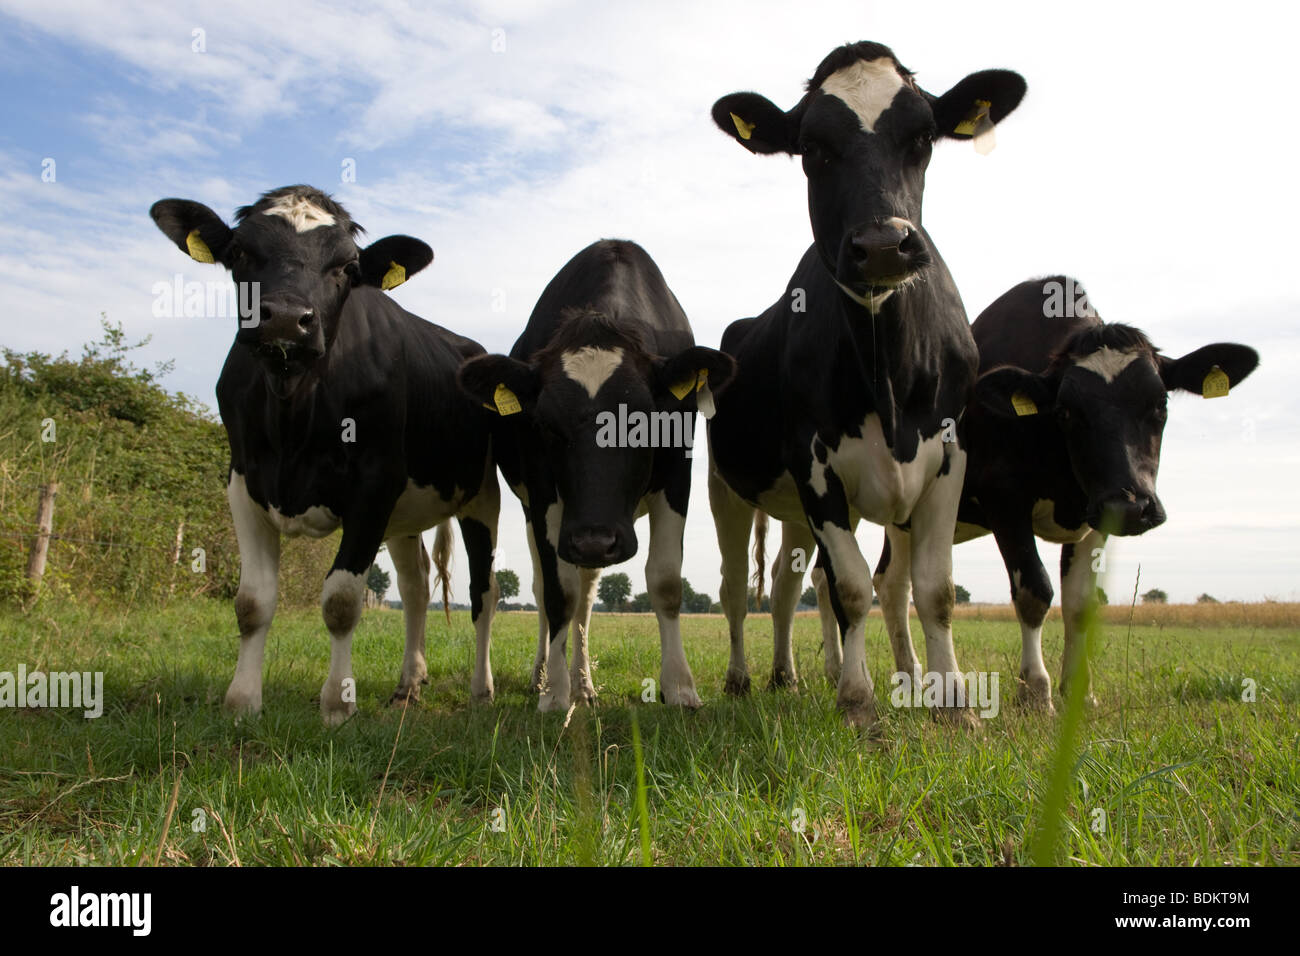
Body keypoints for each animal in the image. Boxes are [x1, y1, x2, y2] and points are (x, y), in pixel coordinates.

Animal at [150, 185, 501, 725]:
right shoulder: (243, 482)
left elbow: (341, 600)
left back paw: (481, 691)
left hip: (481, 495)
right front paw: (242, 701)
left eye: (348, 267)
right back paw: (407, 686)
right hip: (405, 514)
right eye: (239, 253)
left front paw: (337, 703)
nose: (286, 319)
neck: (293, 411)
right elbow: (252, 602)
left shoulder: (374, 483)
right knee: (416, 586)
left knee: (483, 592)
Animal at [459, 239, 734, 712]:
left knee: (586, 596)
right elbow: (557, 593)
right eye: (547, 426)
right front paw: (553, 693)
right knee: (548, 588)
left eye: (644, 421)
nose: (594, 540)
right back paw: (546, 675)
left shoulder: (678, 473)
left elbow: (665, 581)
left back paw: (584, 682)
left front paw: (680, 687)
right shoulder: (544, 494)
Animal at [706, 41, 1026, 726]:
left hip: (793, 509)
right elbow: (852, 587)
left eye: (924, 137)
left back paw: (790, 674)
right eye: (811, 146)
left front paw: (950, 700)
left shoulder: (947, 454)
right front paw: (857, 701)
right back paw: (744, 677)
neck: (888, 370)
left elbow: (930, 589)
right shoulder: (814, 464)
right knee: (736, 588)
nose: (882, 243)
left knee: (787, 585)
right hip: (730, 488)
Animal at [850, 276, 1259, 713]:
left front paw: (1081, 691)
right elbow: (1035, 591)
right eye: (1066, 411)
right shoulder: (1005, 501)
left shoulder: (1097, 513)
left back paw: (912, 681)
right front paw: (1036, 691)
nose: (1132, 505)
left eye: (1160, 404)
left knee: (891, 582)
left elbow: (1080, 603)